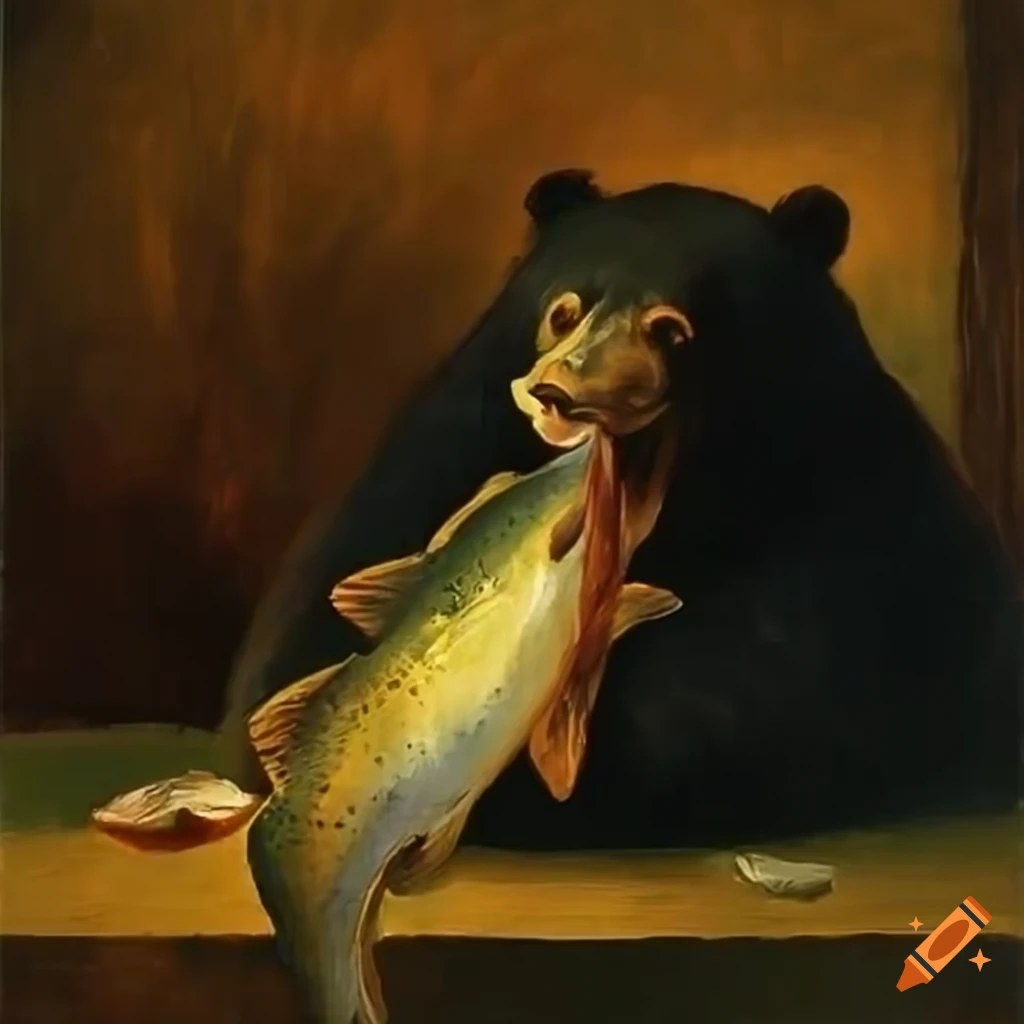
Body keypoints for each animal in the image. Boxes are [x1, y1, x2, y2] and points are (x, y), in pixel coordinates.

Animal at [217, 169, 1021, 852]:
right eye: (564, 311)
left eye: (672, 328)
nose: (560, 392)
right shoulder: (443, 447)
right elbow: (310, 638)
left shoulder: (863, 494)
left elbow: (784, 672)